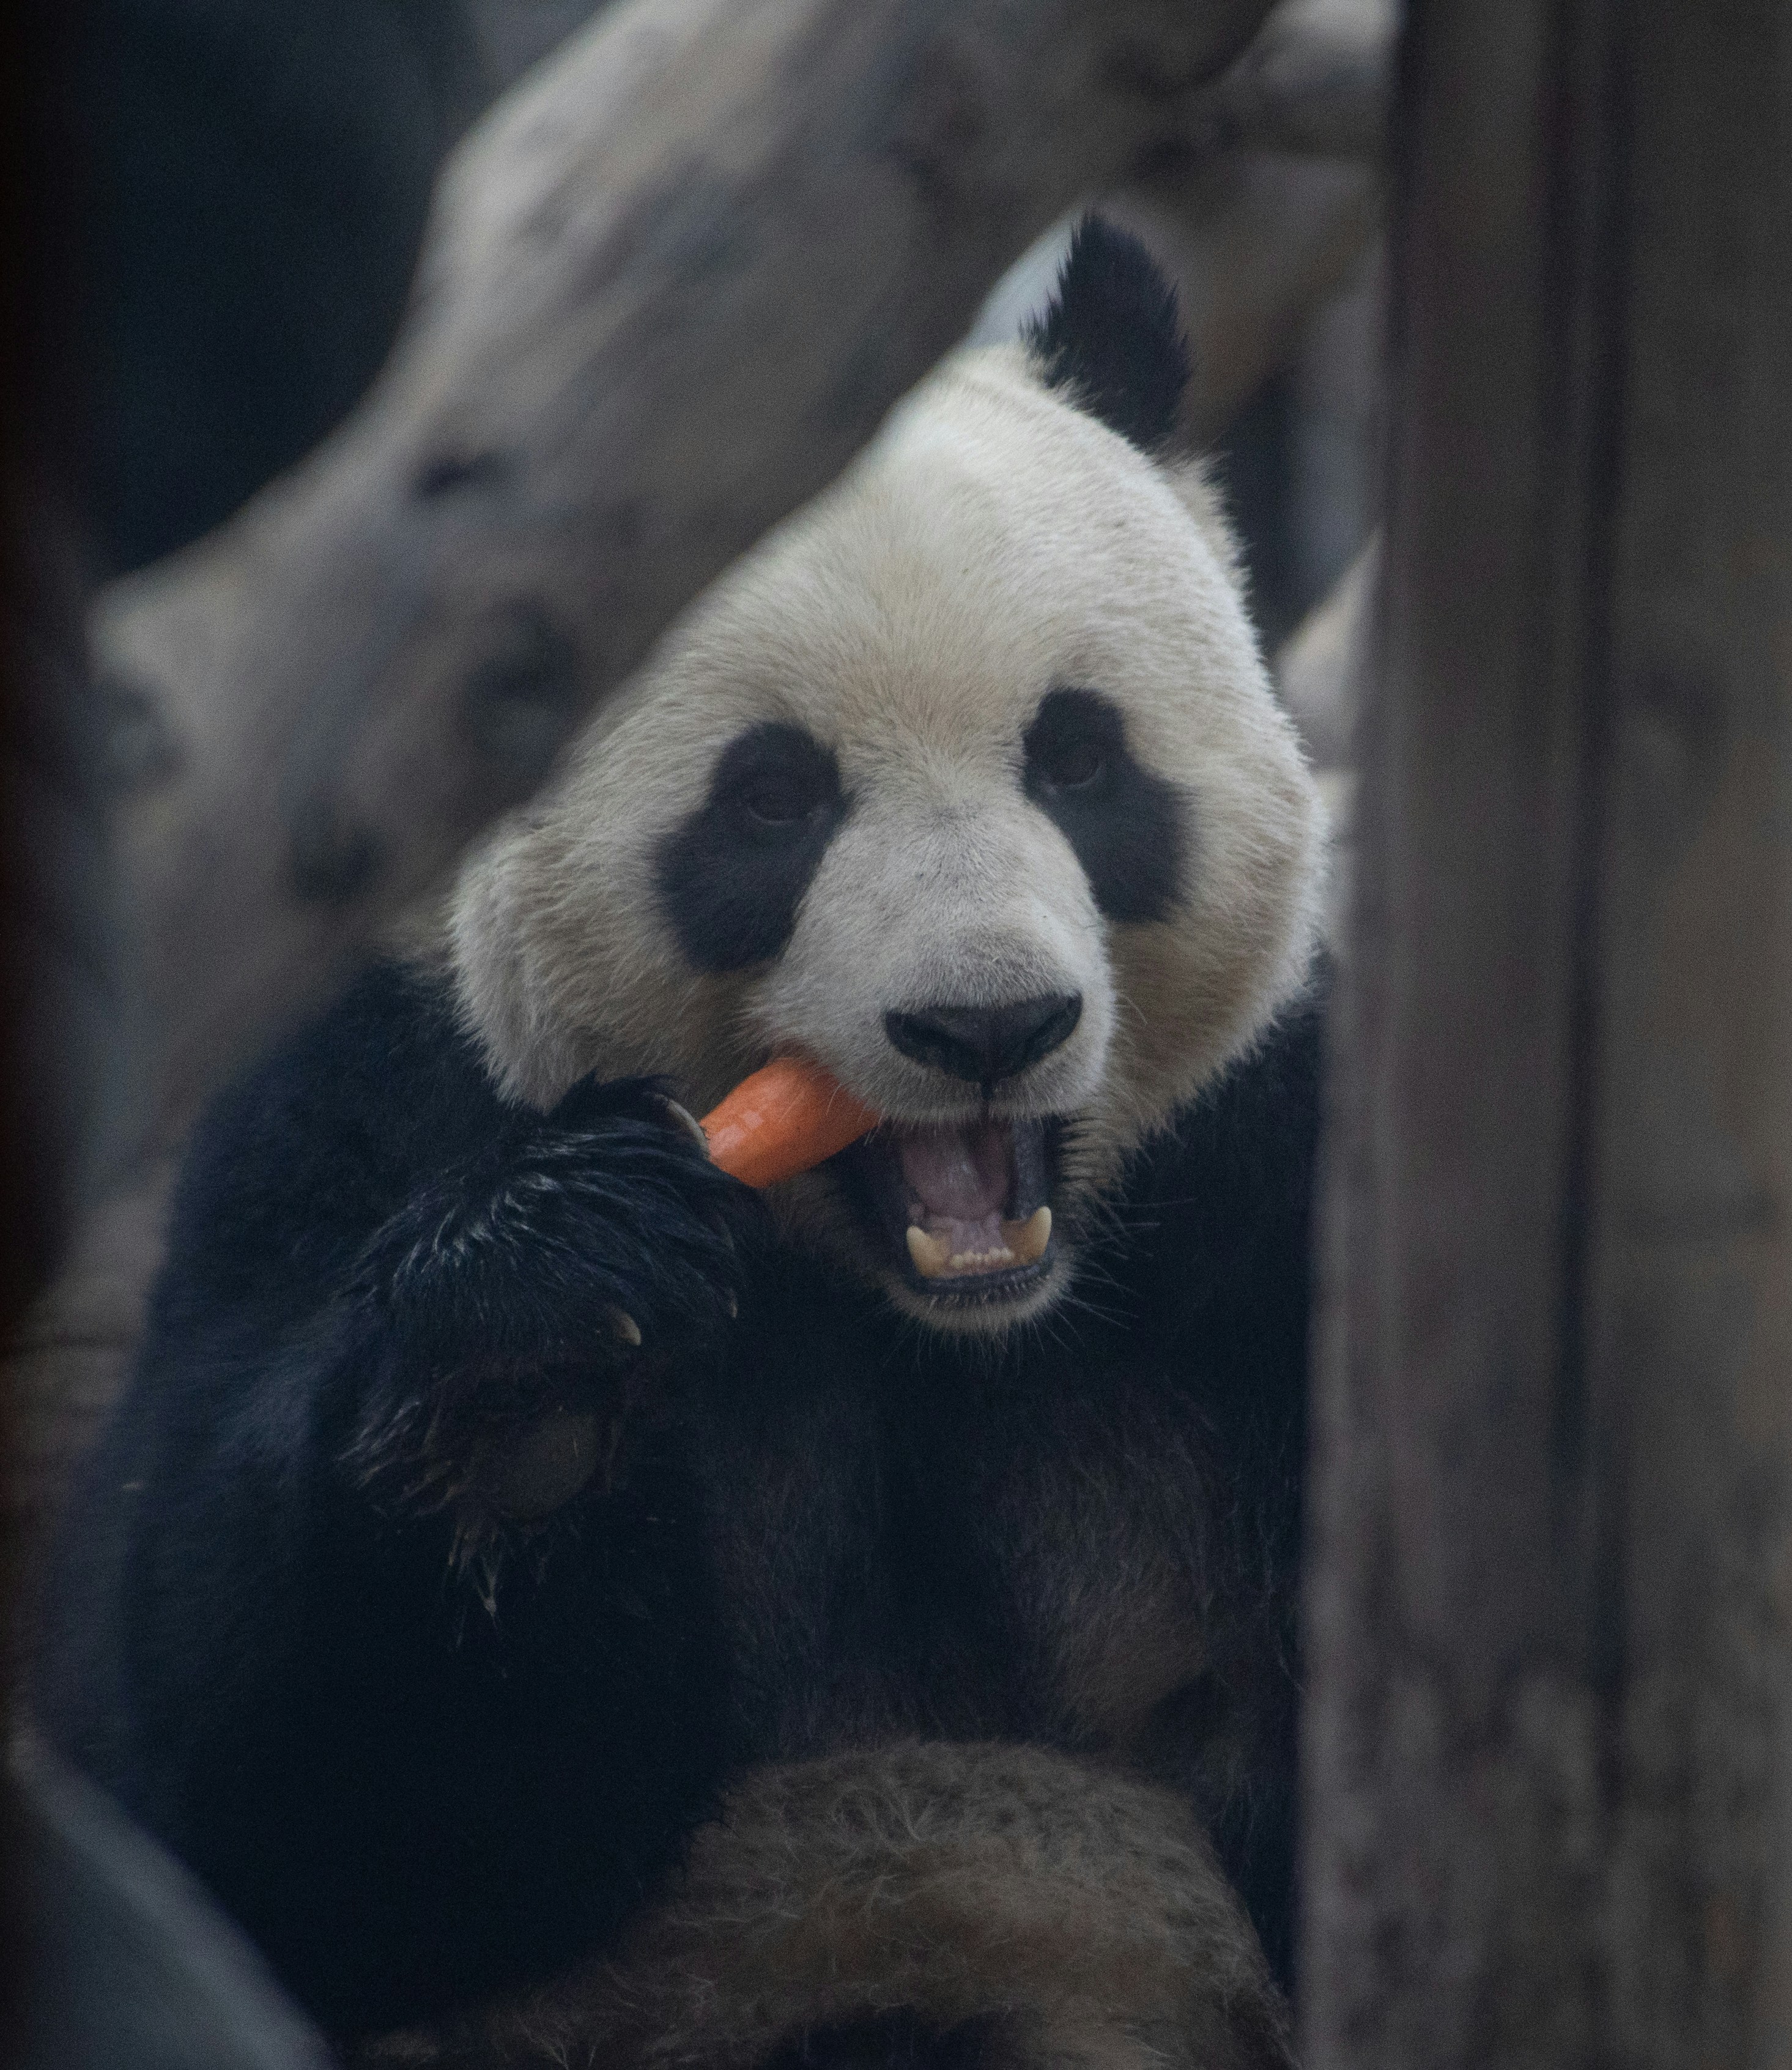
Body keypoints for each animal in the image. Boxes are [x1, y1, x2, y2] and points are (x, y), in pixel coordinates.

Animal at [36, 219, 1327, 2070]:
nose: (987, 1028)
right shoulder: (364, 1112)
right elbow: (257, 1801)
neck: (926, 1323)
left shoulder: (1264, 1202)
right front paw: (528, 1359)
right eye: (772, 798)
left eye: (1080, 758)